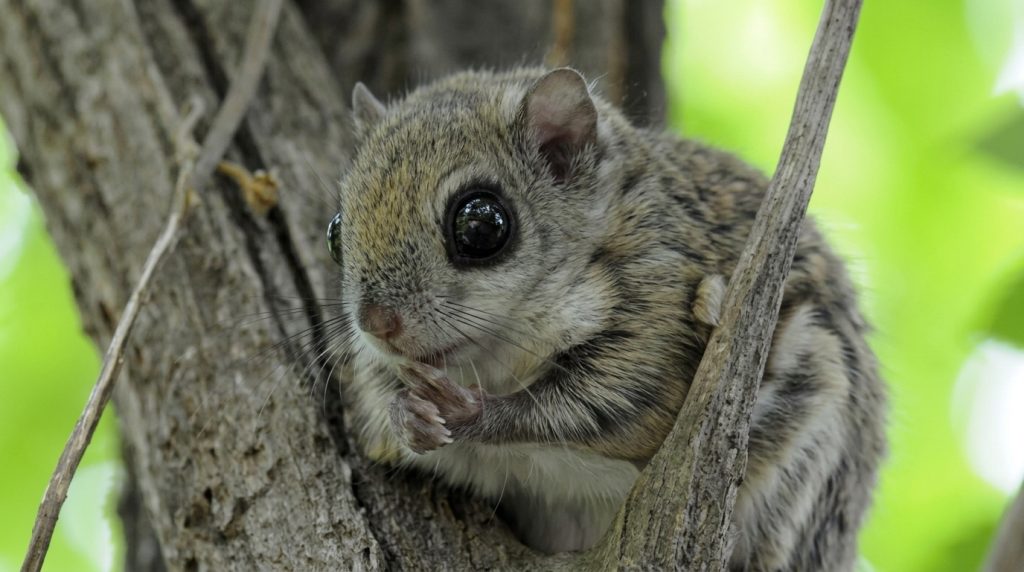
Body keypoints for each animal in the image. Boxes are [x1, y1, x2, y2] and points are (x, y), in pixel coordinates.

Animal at [328, 67, 887, 570]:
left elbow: (594, 405)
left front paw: (474, 413)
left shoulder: (657, 315)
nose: (377, 323)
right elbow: (392, 430)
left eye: (482, 225)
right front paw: (407, 415)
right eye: (335, 233)